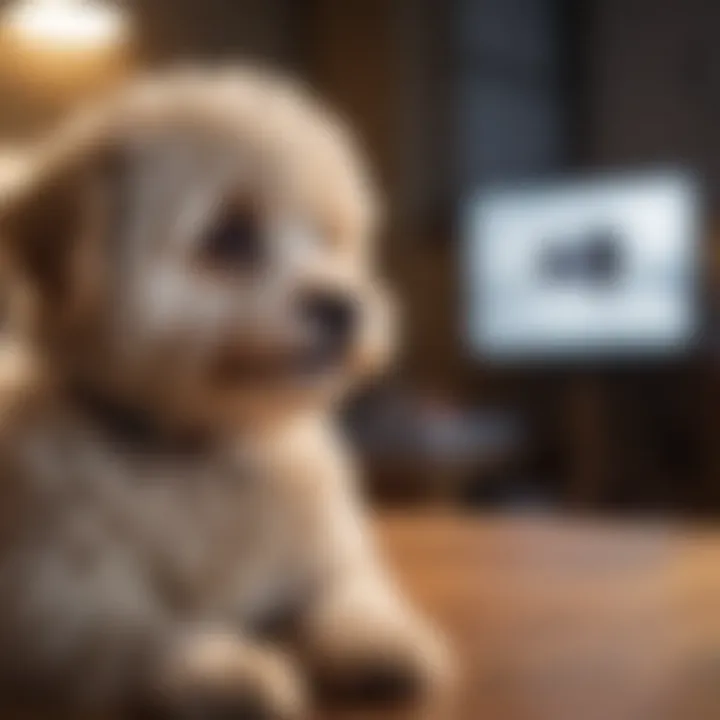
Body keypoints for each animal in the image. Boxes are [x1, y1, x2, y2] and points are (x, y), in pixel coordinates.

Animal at [0, 66, 450, 716]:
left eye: (331, 239)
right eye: (229, 236)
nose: (343, 305)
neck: (206, 452)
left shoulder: (328, 552)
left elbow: (350, 592)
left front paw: (380, 638)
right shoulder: (46, 592)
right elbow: (140, 633)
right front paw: (219, 669)